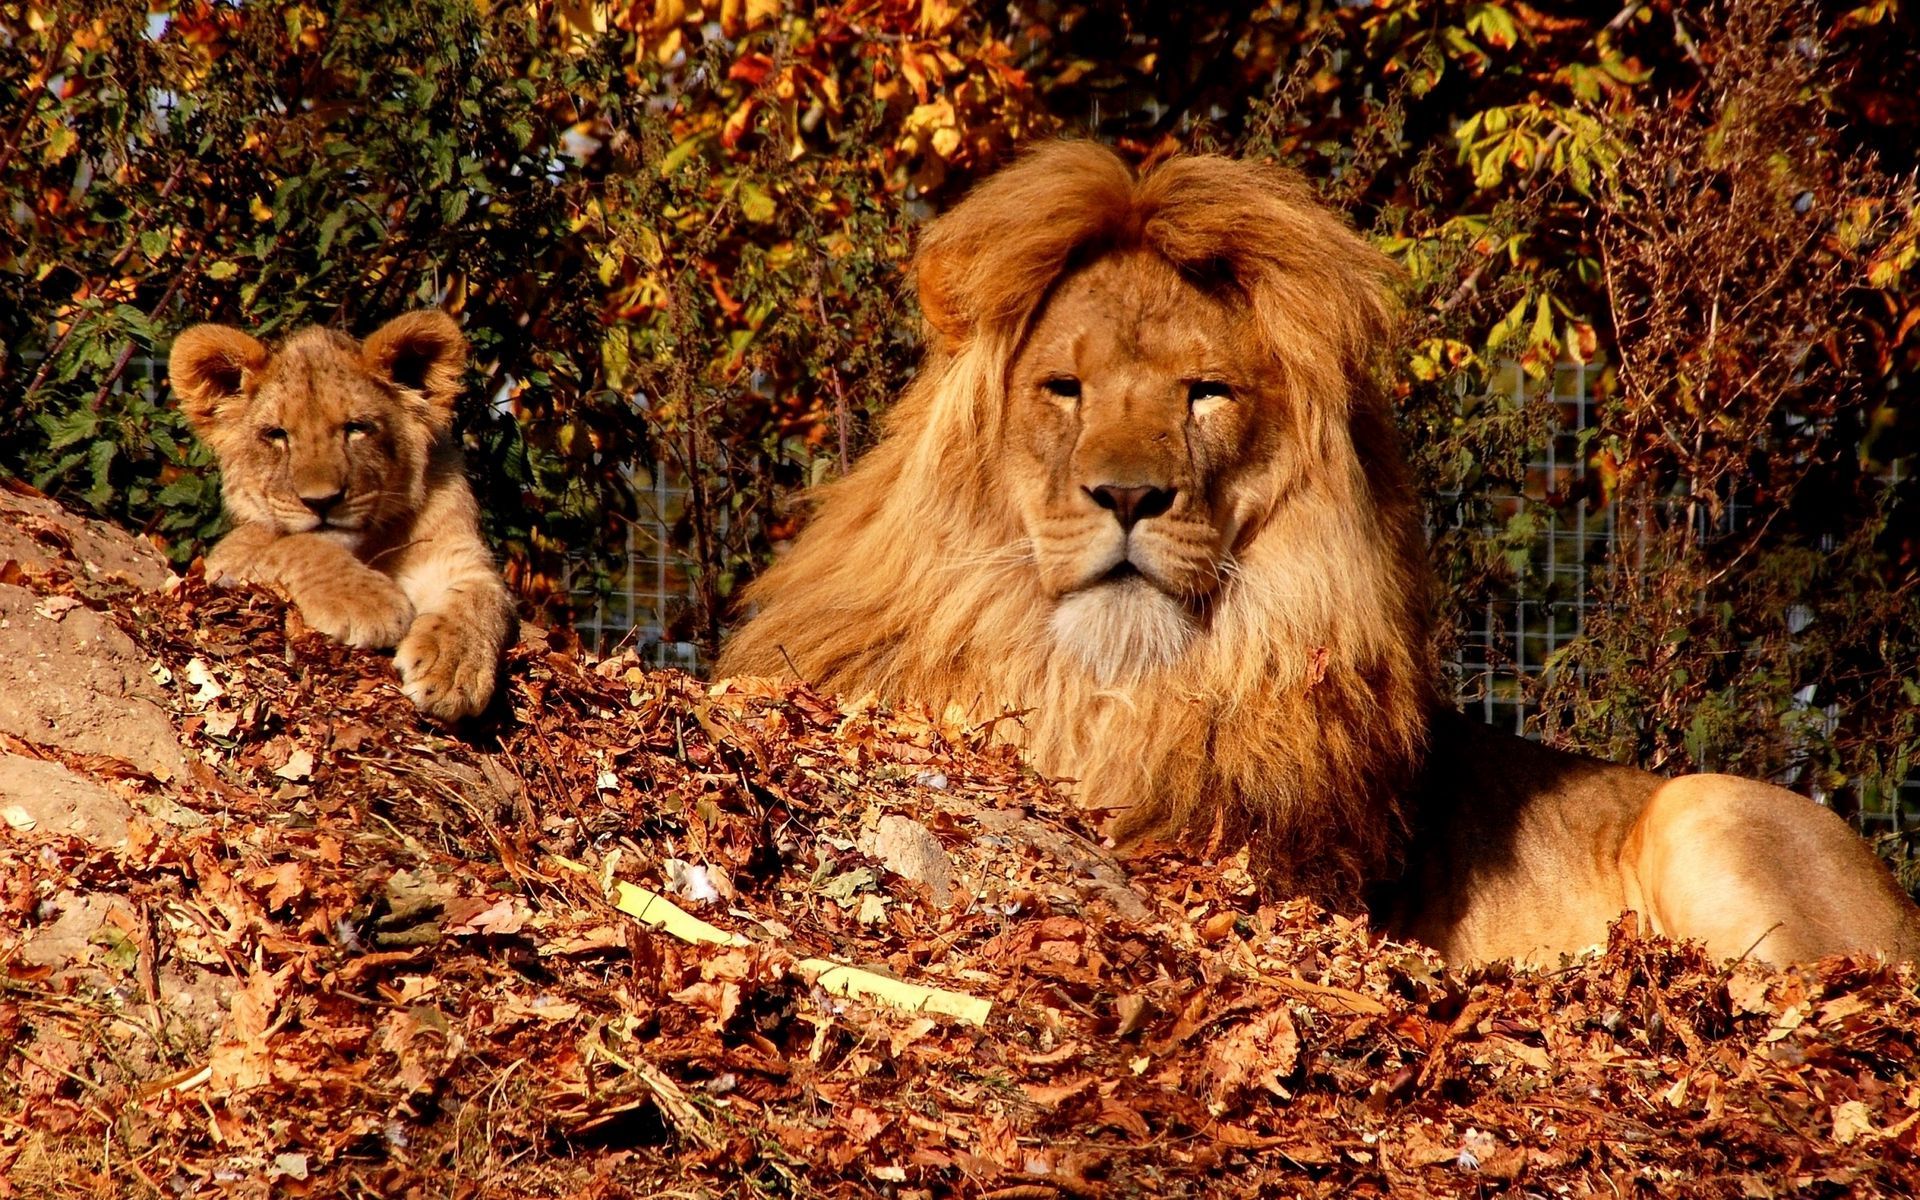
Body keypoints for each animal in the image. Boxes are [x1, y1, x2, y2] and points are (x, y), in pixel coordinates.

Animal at [169, 310, 515, 722]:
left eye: (356, 428)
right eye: (277, 434)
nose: (322, 502)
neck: (368, 545)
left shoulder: (458, 557)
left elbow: (479, 601)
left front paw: (452, 669)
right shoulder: (224, 556)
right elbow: (299, 545)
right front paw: (367, 603)